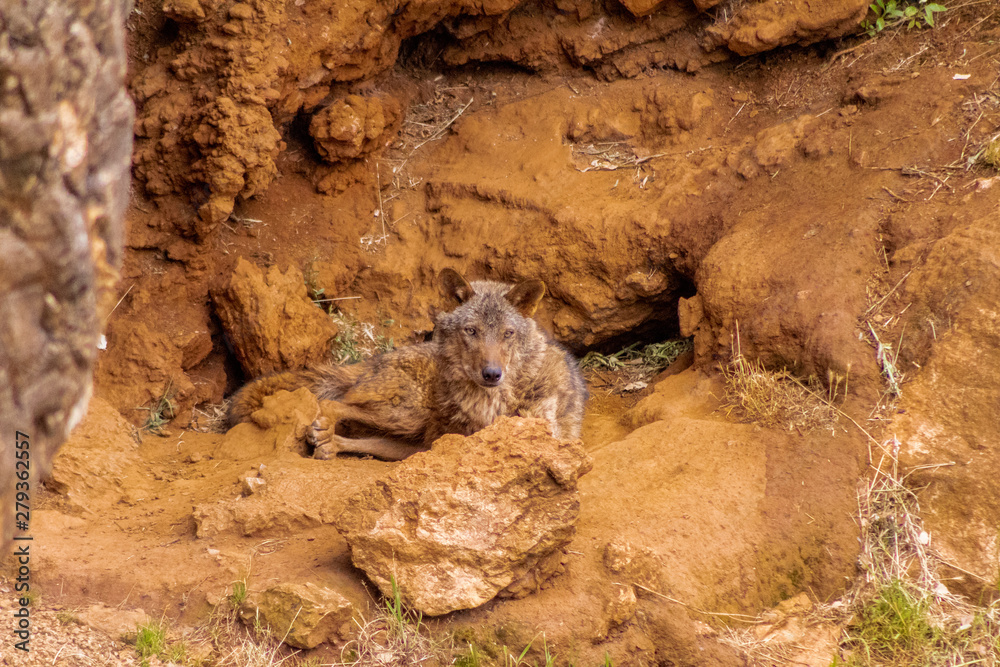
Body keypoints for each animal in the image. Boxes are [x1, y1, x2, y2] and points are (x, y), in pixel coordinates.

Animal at [227, 269, 588, 460]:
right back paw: (324, 431)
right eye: (471, 331)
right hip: (407, 413)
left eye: (507, 333)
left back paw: (329, 444)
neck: (492, 402)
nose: (492, 374)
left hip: (414, 441)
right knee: (333, 403)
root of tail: (372, 360)